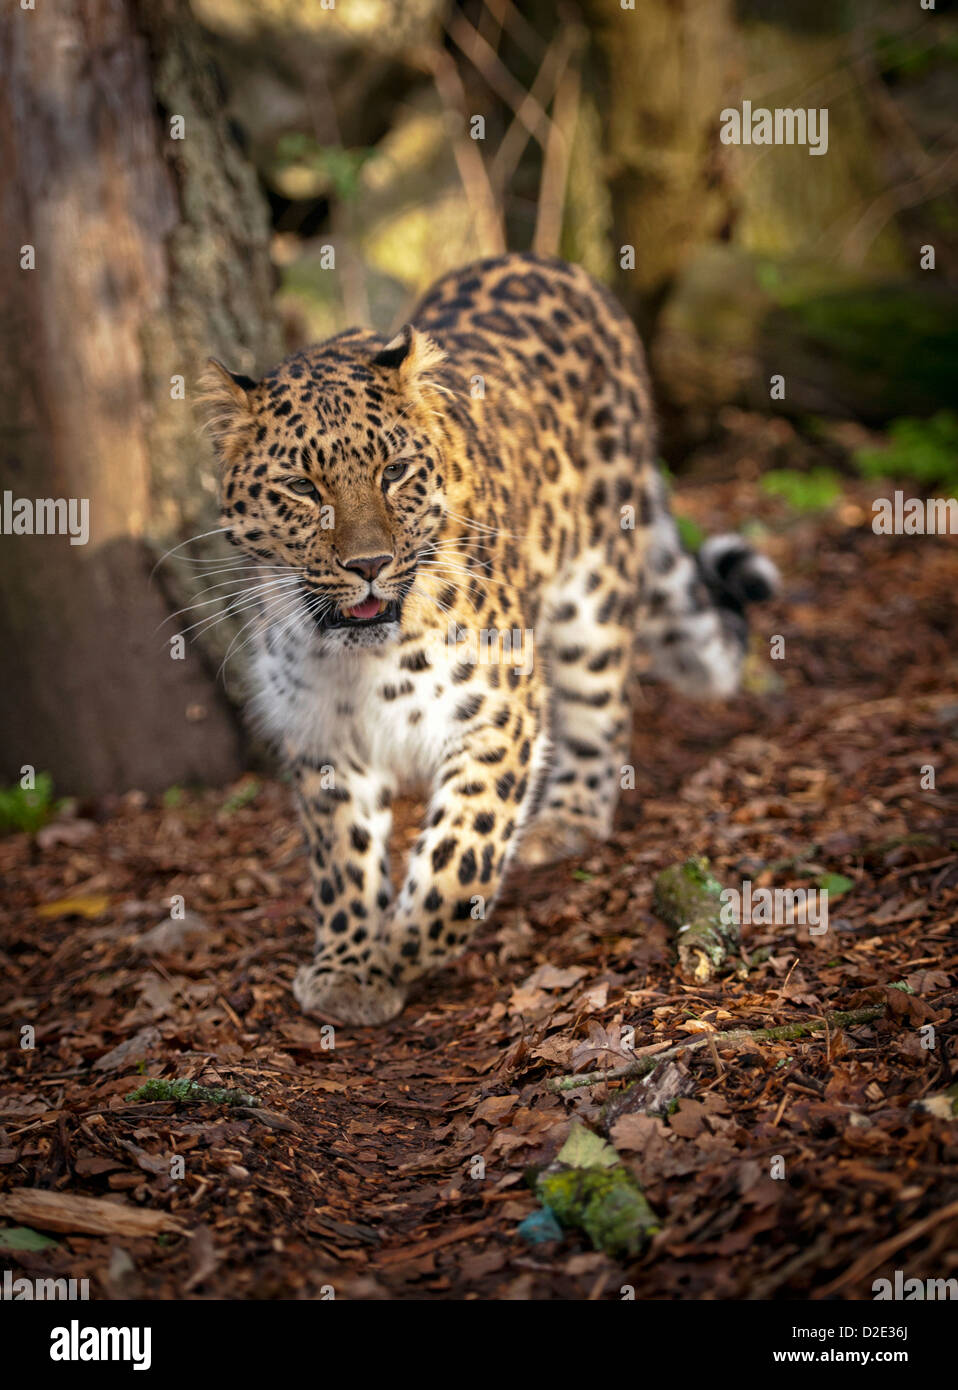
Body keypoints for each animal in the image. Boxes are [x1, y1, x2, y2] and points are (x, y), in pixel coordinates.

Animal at [201, 252, 777, 1026]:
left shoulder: (497, 718)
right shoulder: (322, 736)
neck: (360, 660)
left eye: (394, 472)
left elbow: (460, 857)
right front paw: (350, 968)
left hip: (593, 589)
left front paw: (401, 952)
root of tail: (555, 265)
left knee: (603, 704)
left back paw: (567, 819)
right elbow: (342, 857)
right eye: (301, 486)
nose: (369, 565)